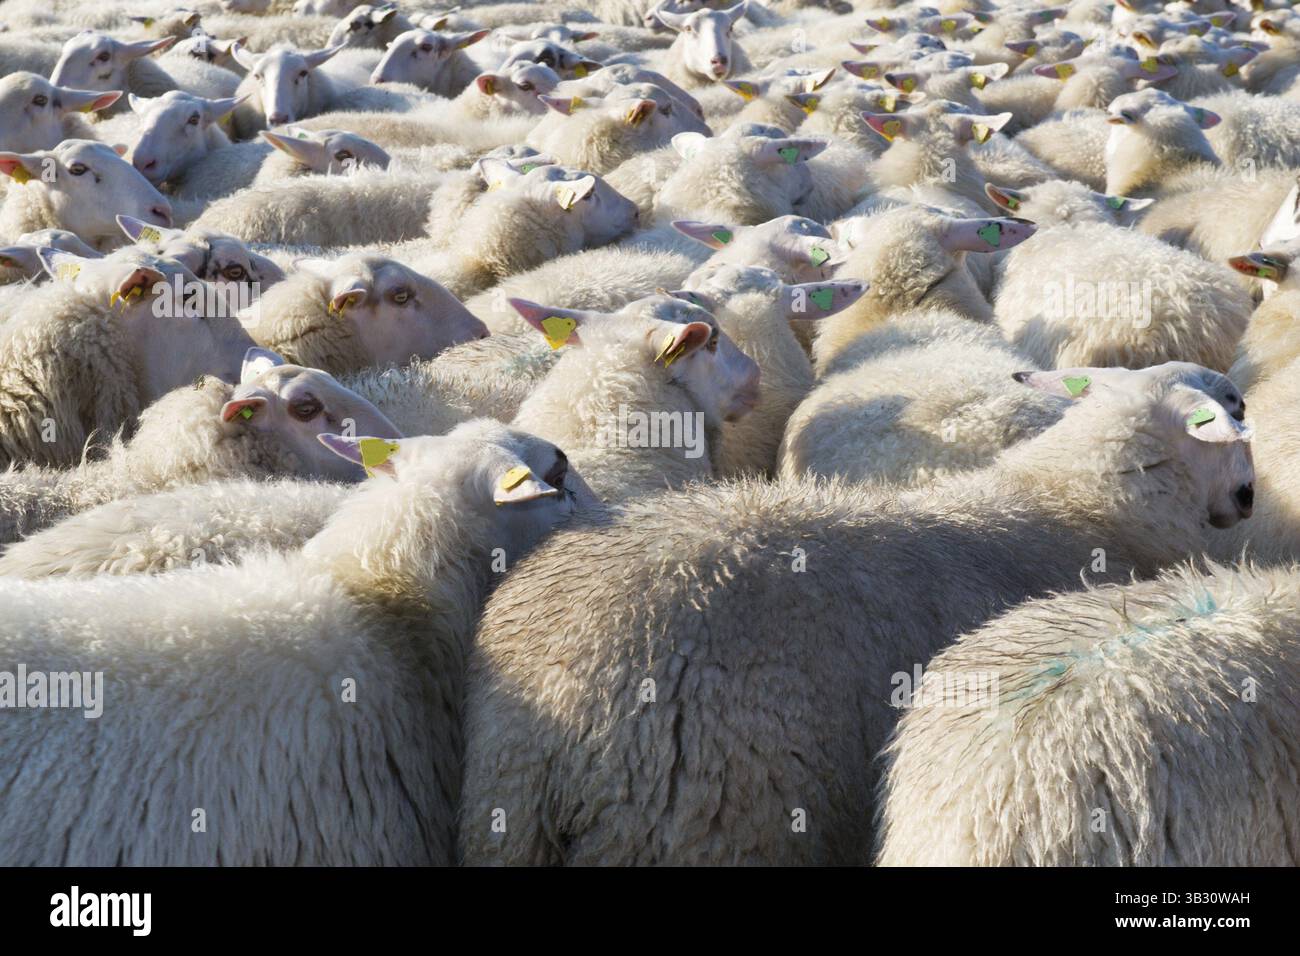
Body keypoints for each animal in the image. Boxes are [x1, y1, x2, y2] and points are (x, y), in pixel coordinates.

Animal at [458, 365, 1255, 865]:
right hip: (709, 828)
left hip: (507, 826)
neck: (1076, 501)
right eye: (1235, 406)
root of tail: (558, 720)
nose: (1247, 498)